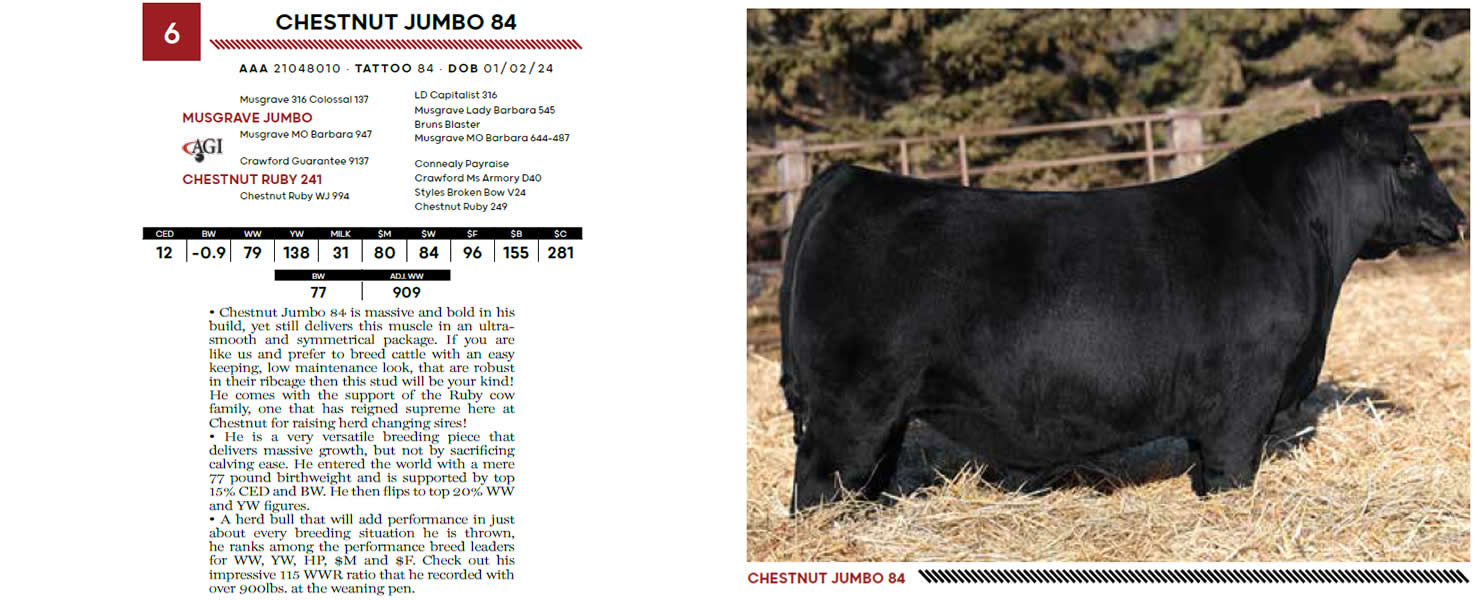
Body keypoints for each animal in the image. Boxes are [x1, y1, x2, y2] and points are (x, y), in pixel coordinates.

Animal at [779, 101, 1466, 512]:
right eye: (1409, 159)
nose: (1458, 219)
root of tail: (849, 177)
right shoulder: (1246, 394)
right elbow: (1231, 469)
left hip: (879, 415)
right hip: (851, 408)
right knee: (819, 483)